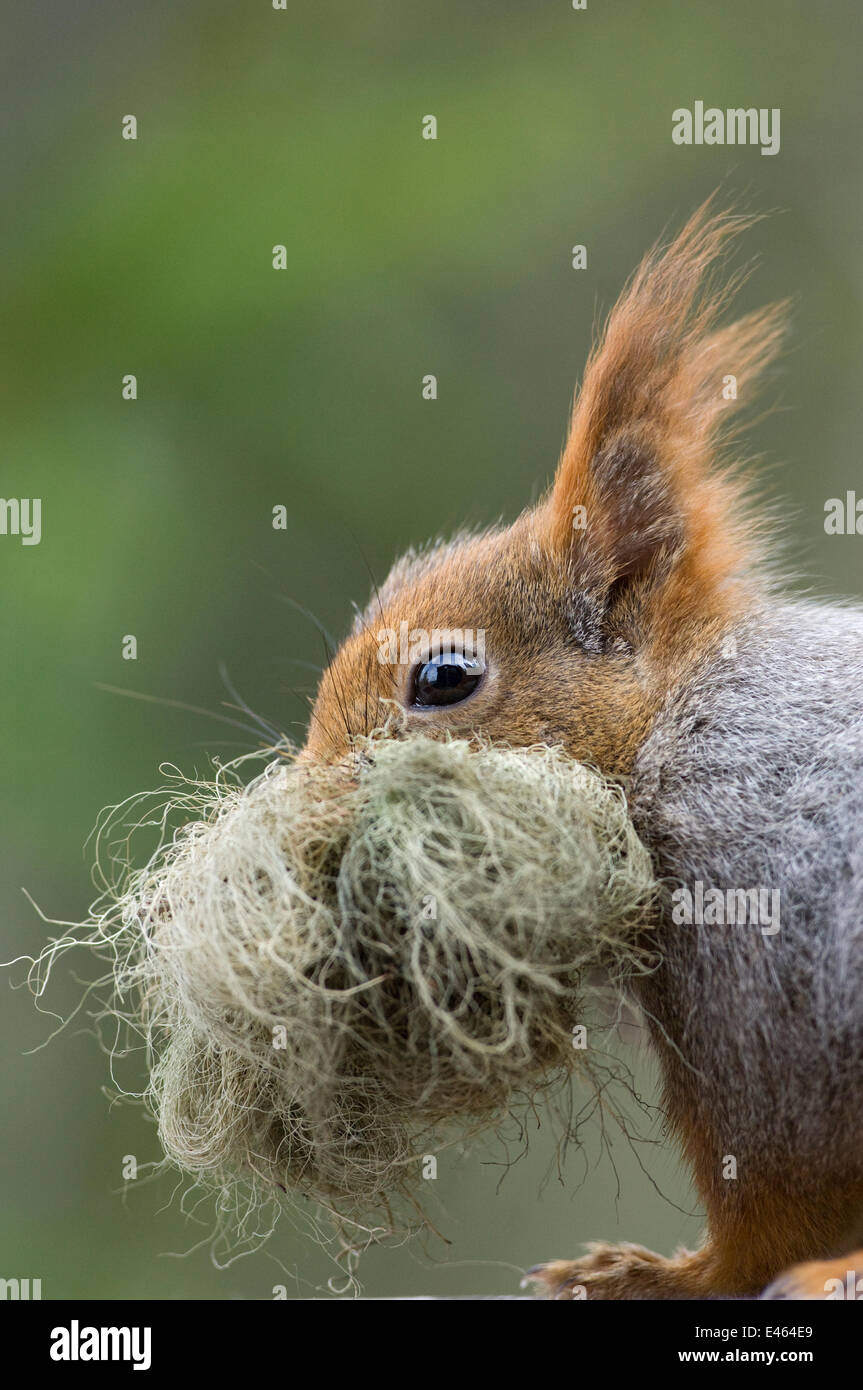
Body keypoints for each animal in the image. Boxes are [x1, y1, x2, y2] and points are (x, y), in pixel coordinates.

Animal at [300, 201, 863, 1300]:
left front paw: (661, 1274)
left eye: (442, 679)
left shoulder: (756, 945)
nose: (308, 816)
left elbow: (777, 1203)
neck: (674, 732)